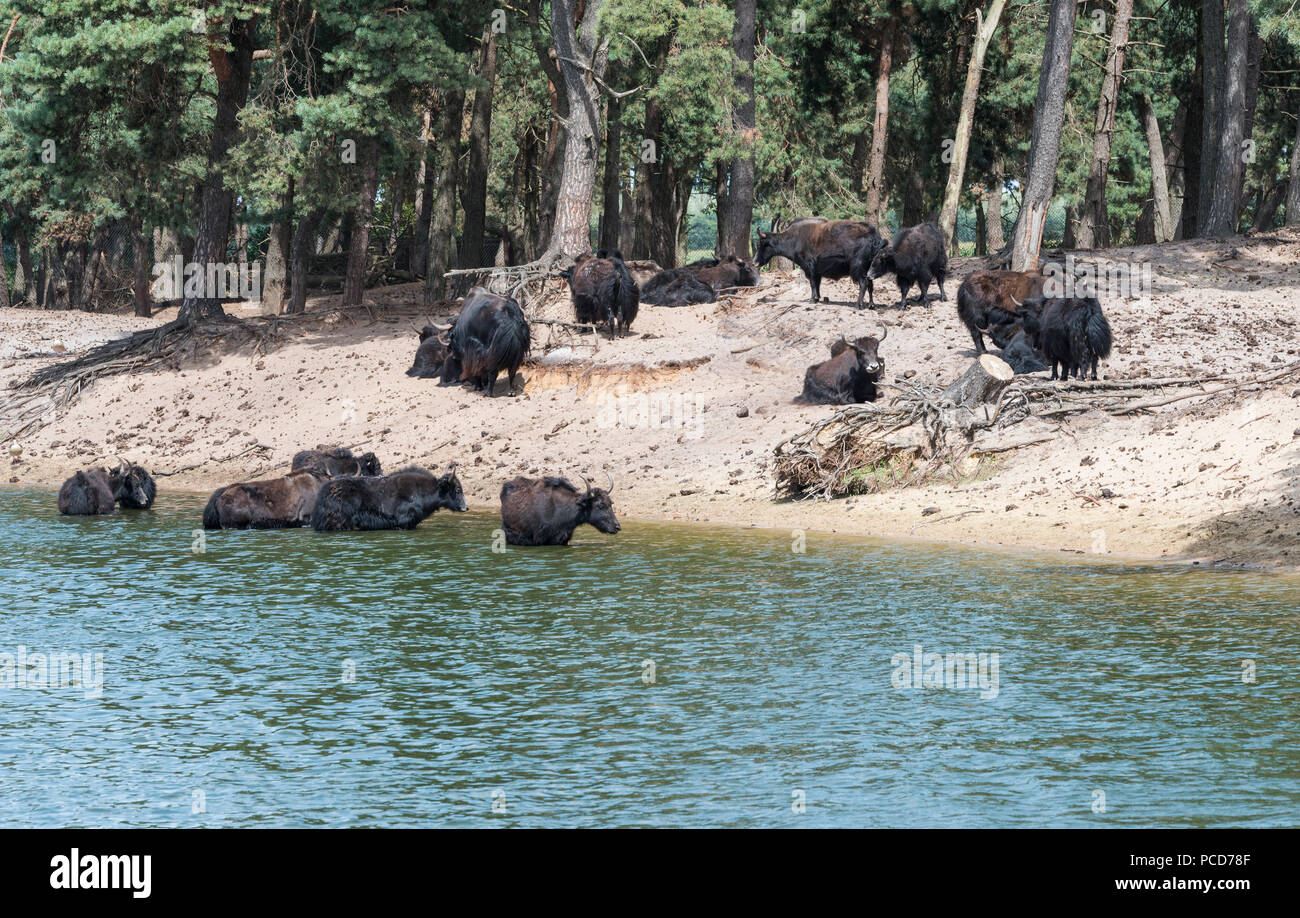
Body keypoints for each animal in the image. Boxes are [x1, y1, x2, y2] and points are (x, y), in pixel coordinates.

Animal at [754, 217, 887, 306]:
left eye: (761, 244)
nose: (755, 262)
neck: (794, 239)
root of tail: (874, 236)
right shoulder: (817, 271)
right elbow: (817, 284)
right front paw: (818, 298)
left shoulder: (809, 267)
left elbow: (813, 283)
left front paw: (812, 299)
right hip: (868, 268)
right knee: (870, 285)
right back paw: (871, 305)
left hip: (858, 267)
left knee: (864, 283)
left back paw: (859, 304)